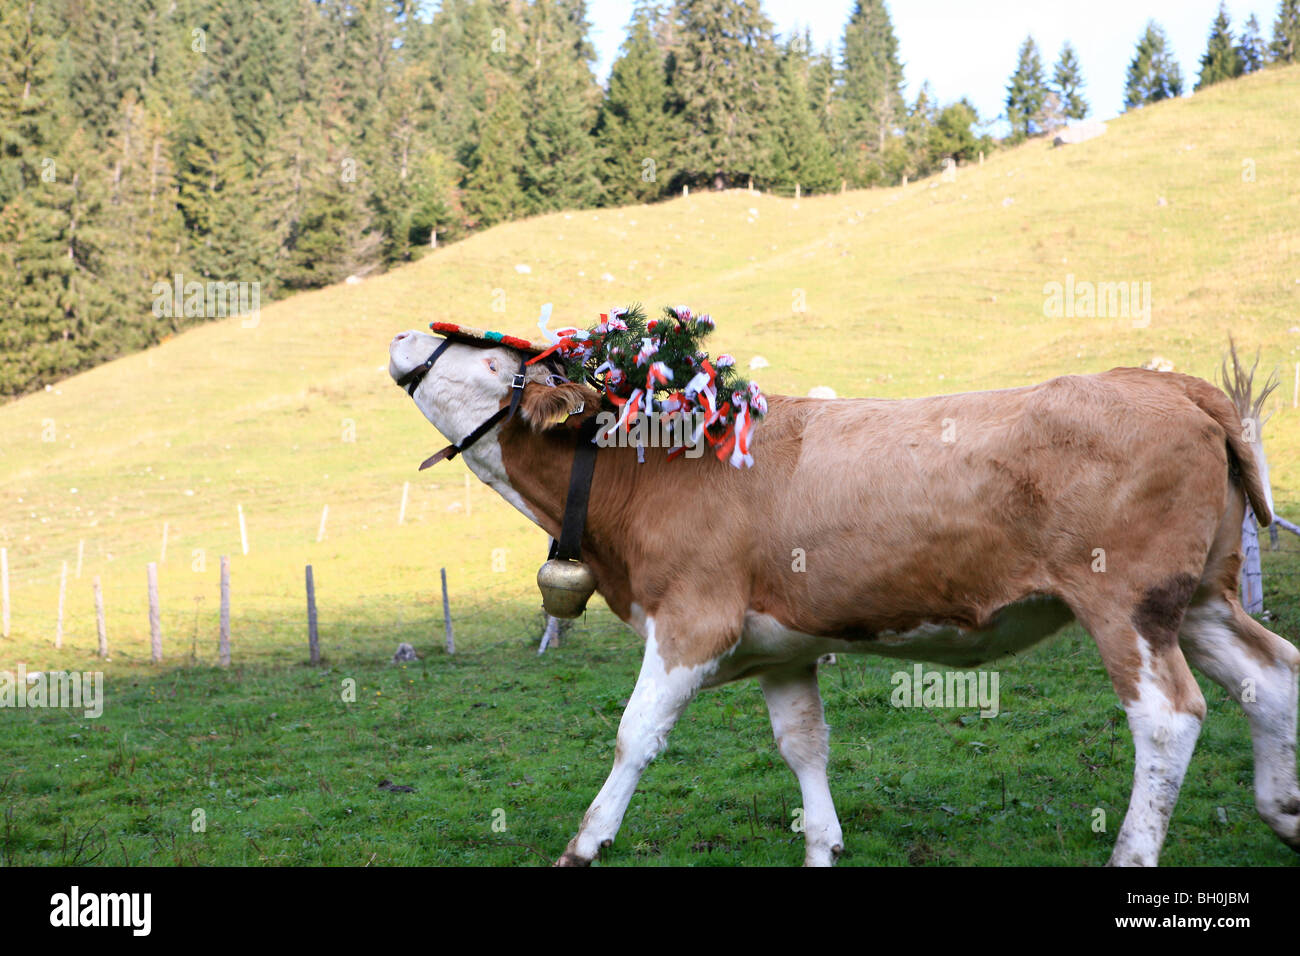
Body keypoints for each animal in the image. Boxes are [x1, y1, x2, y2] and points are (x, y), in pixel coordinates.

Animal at [389, 328, 1300, 867]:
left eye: (493, 362)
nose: (406, 335)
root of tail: (1174, 384)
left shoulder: (692, 620)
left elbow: (634, 737)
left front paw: (584, 845)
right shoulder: (780, 646)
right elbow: (804, 746)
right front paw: (822, 847)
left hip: (1127, 602)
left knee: (1169, 717)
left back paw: (1134, 854)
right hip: (1201, 596)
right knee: (1273, 674)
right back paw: (1283, 809)